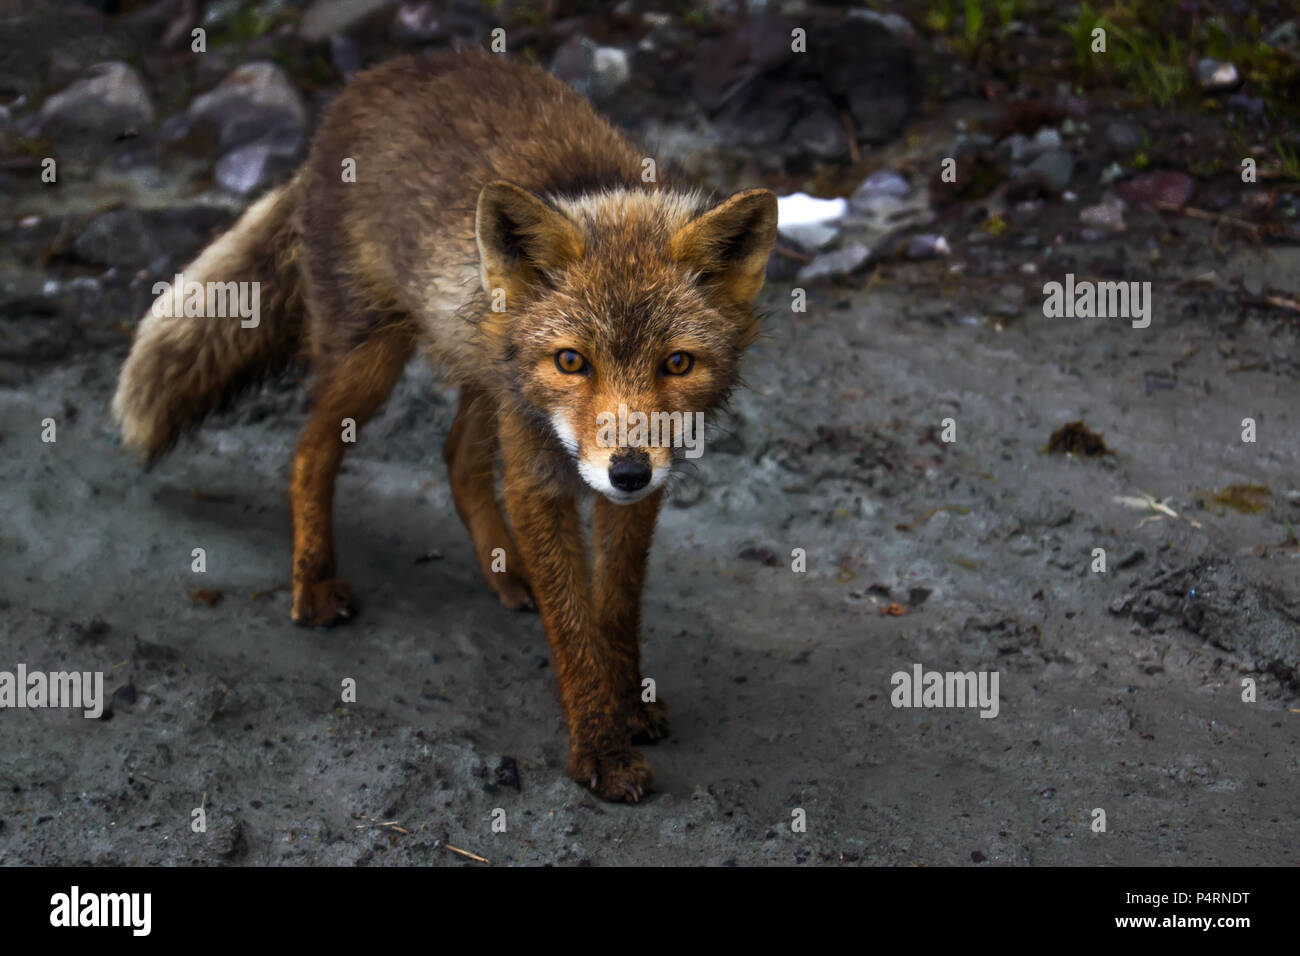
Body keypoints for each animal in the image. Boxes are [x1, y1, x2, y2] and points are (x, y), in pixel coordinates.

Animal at [112, 50, 778, 802]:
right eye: (572, 361)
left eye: (677, 363)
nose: (628, 470)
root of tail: (369, 82)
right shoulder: (538, 476)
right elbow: (574, 629)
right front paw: (600, 748)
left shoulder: (629, 491)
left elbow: (614, 608)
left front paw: (626, 702)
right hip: (373, 361)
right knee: (308, 452)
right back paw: (314, 585)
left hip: (483, 375)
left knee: (455, 457)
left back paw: (506, 570)